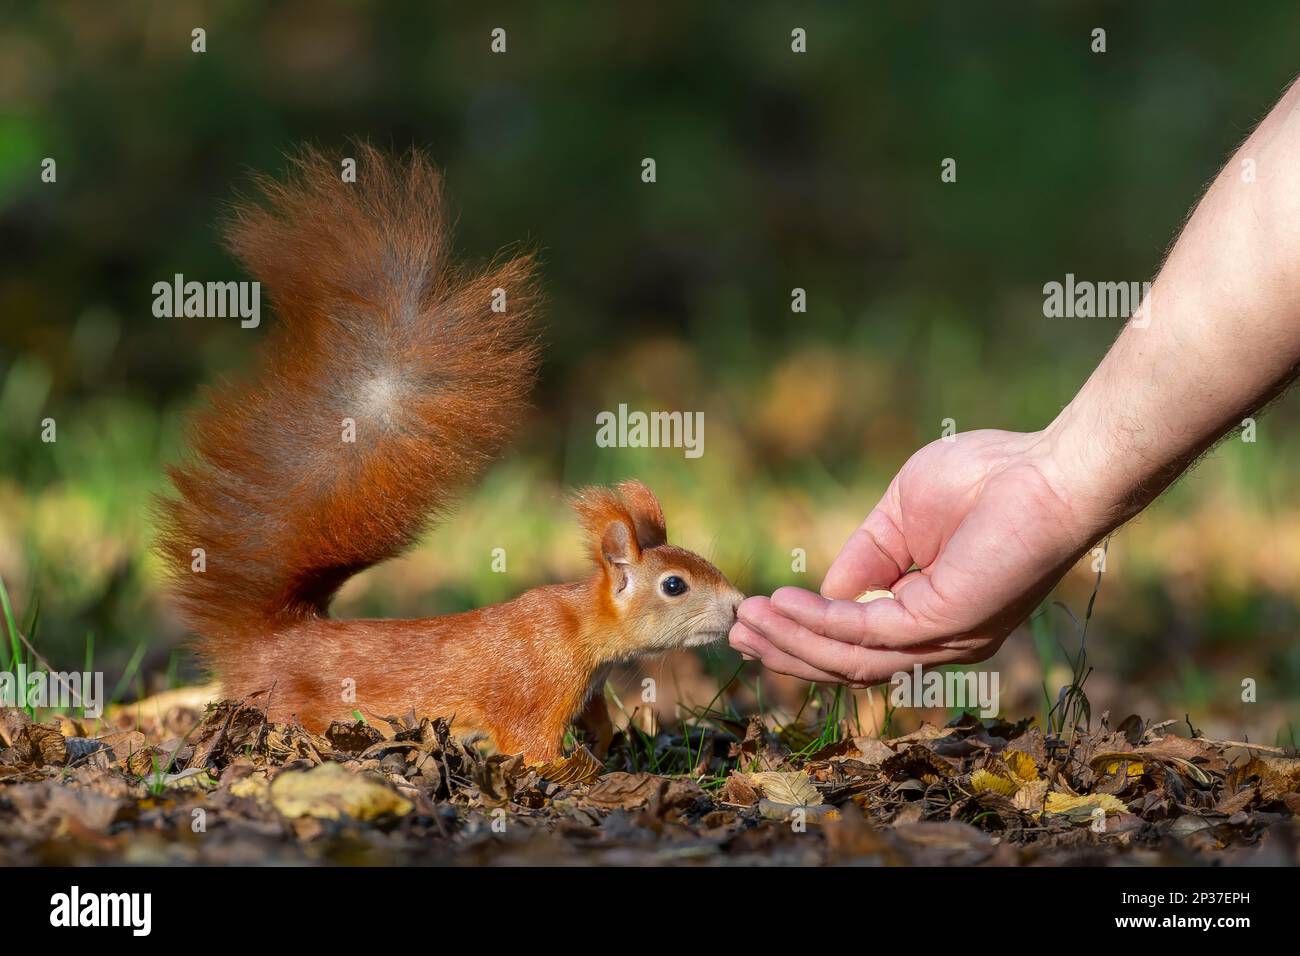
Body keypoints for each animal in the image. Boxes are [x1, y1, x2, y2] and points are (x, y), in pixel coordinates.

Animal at [154, 146, 744, 762]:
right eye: (674, 585)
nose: (737, 606)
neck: (579, 625)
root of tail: (270, 640)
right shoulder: (534, 685)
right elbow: (531, 746)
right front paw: (583, 772)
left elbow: (597, 718)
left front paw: (609, 746)